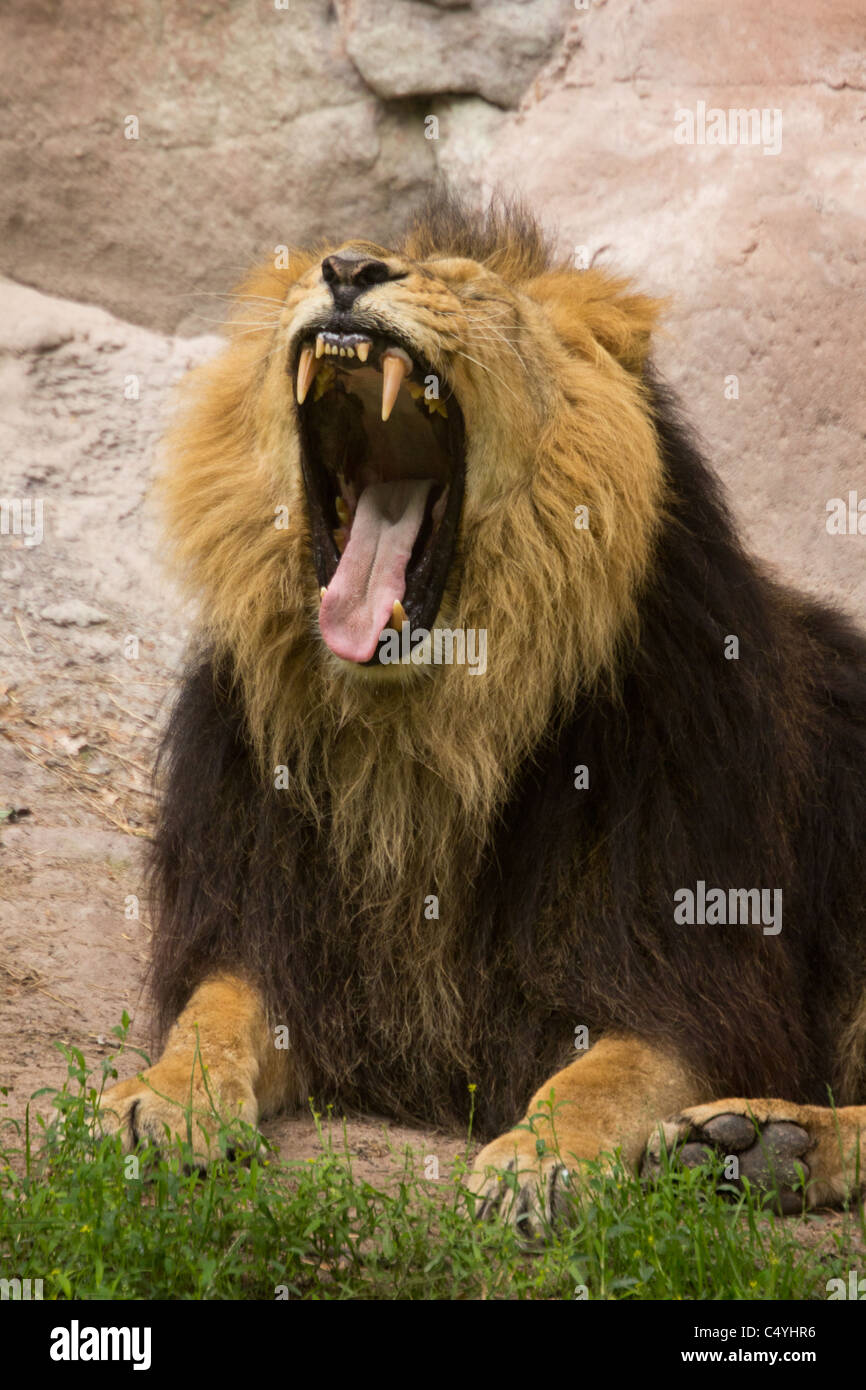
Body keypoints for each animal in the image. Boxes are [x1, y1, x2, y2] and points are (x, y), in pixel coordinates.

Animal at [101, 191, 866, 1236]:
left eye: (466, 287)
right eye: (337, 255)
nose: (348, 270)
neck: (423, 739)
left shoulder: (693, 968)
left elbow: (607, 1076)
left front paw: (535, 1161)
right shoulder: (272, 932)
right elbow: (212, 1014)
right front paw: (161, 1101)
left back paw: (768, 1143)